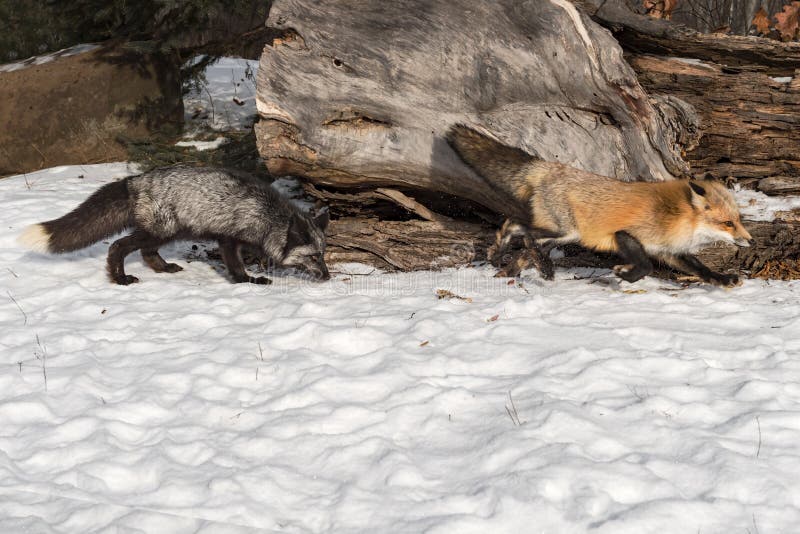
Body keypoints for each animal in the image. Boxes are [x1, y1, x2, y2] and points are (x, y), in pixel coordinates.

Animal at [18, 166, 331, 285]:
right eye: (314, 257)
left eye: (323, 255)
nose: (328, 277)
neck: (266, 214)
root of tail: (134, 181)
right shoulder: (228, 239)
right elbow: (236, 268)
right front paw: (249, 281)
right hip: (160, 232)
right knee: (118, 246)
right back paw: (120, 279)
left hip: (166, 234)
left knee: (146, 253)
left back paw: (164, 268)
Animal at [445, 124, 752, 287]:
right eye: (728, 223)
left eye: (738, 219)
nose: (750, 240)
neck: (679, 218)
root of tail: (547, 166)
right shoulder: (626, 235)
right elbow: (645, 267)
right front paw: (624, 275)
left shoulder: (668, 251)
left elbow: (700, 269)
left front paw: (723, 279)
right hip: (569, 231)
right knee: (529, 235)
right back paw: (543, 269)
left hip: (559, 230)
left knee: (518, 227)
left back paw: (505, 261)